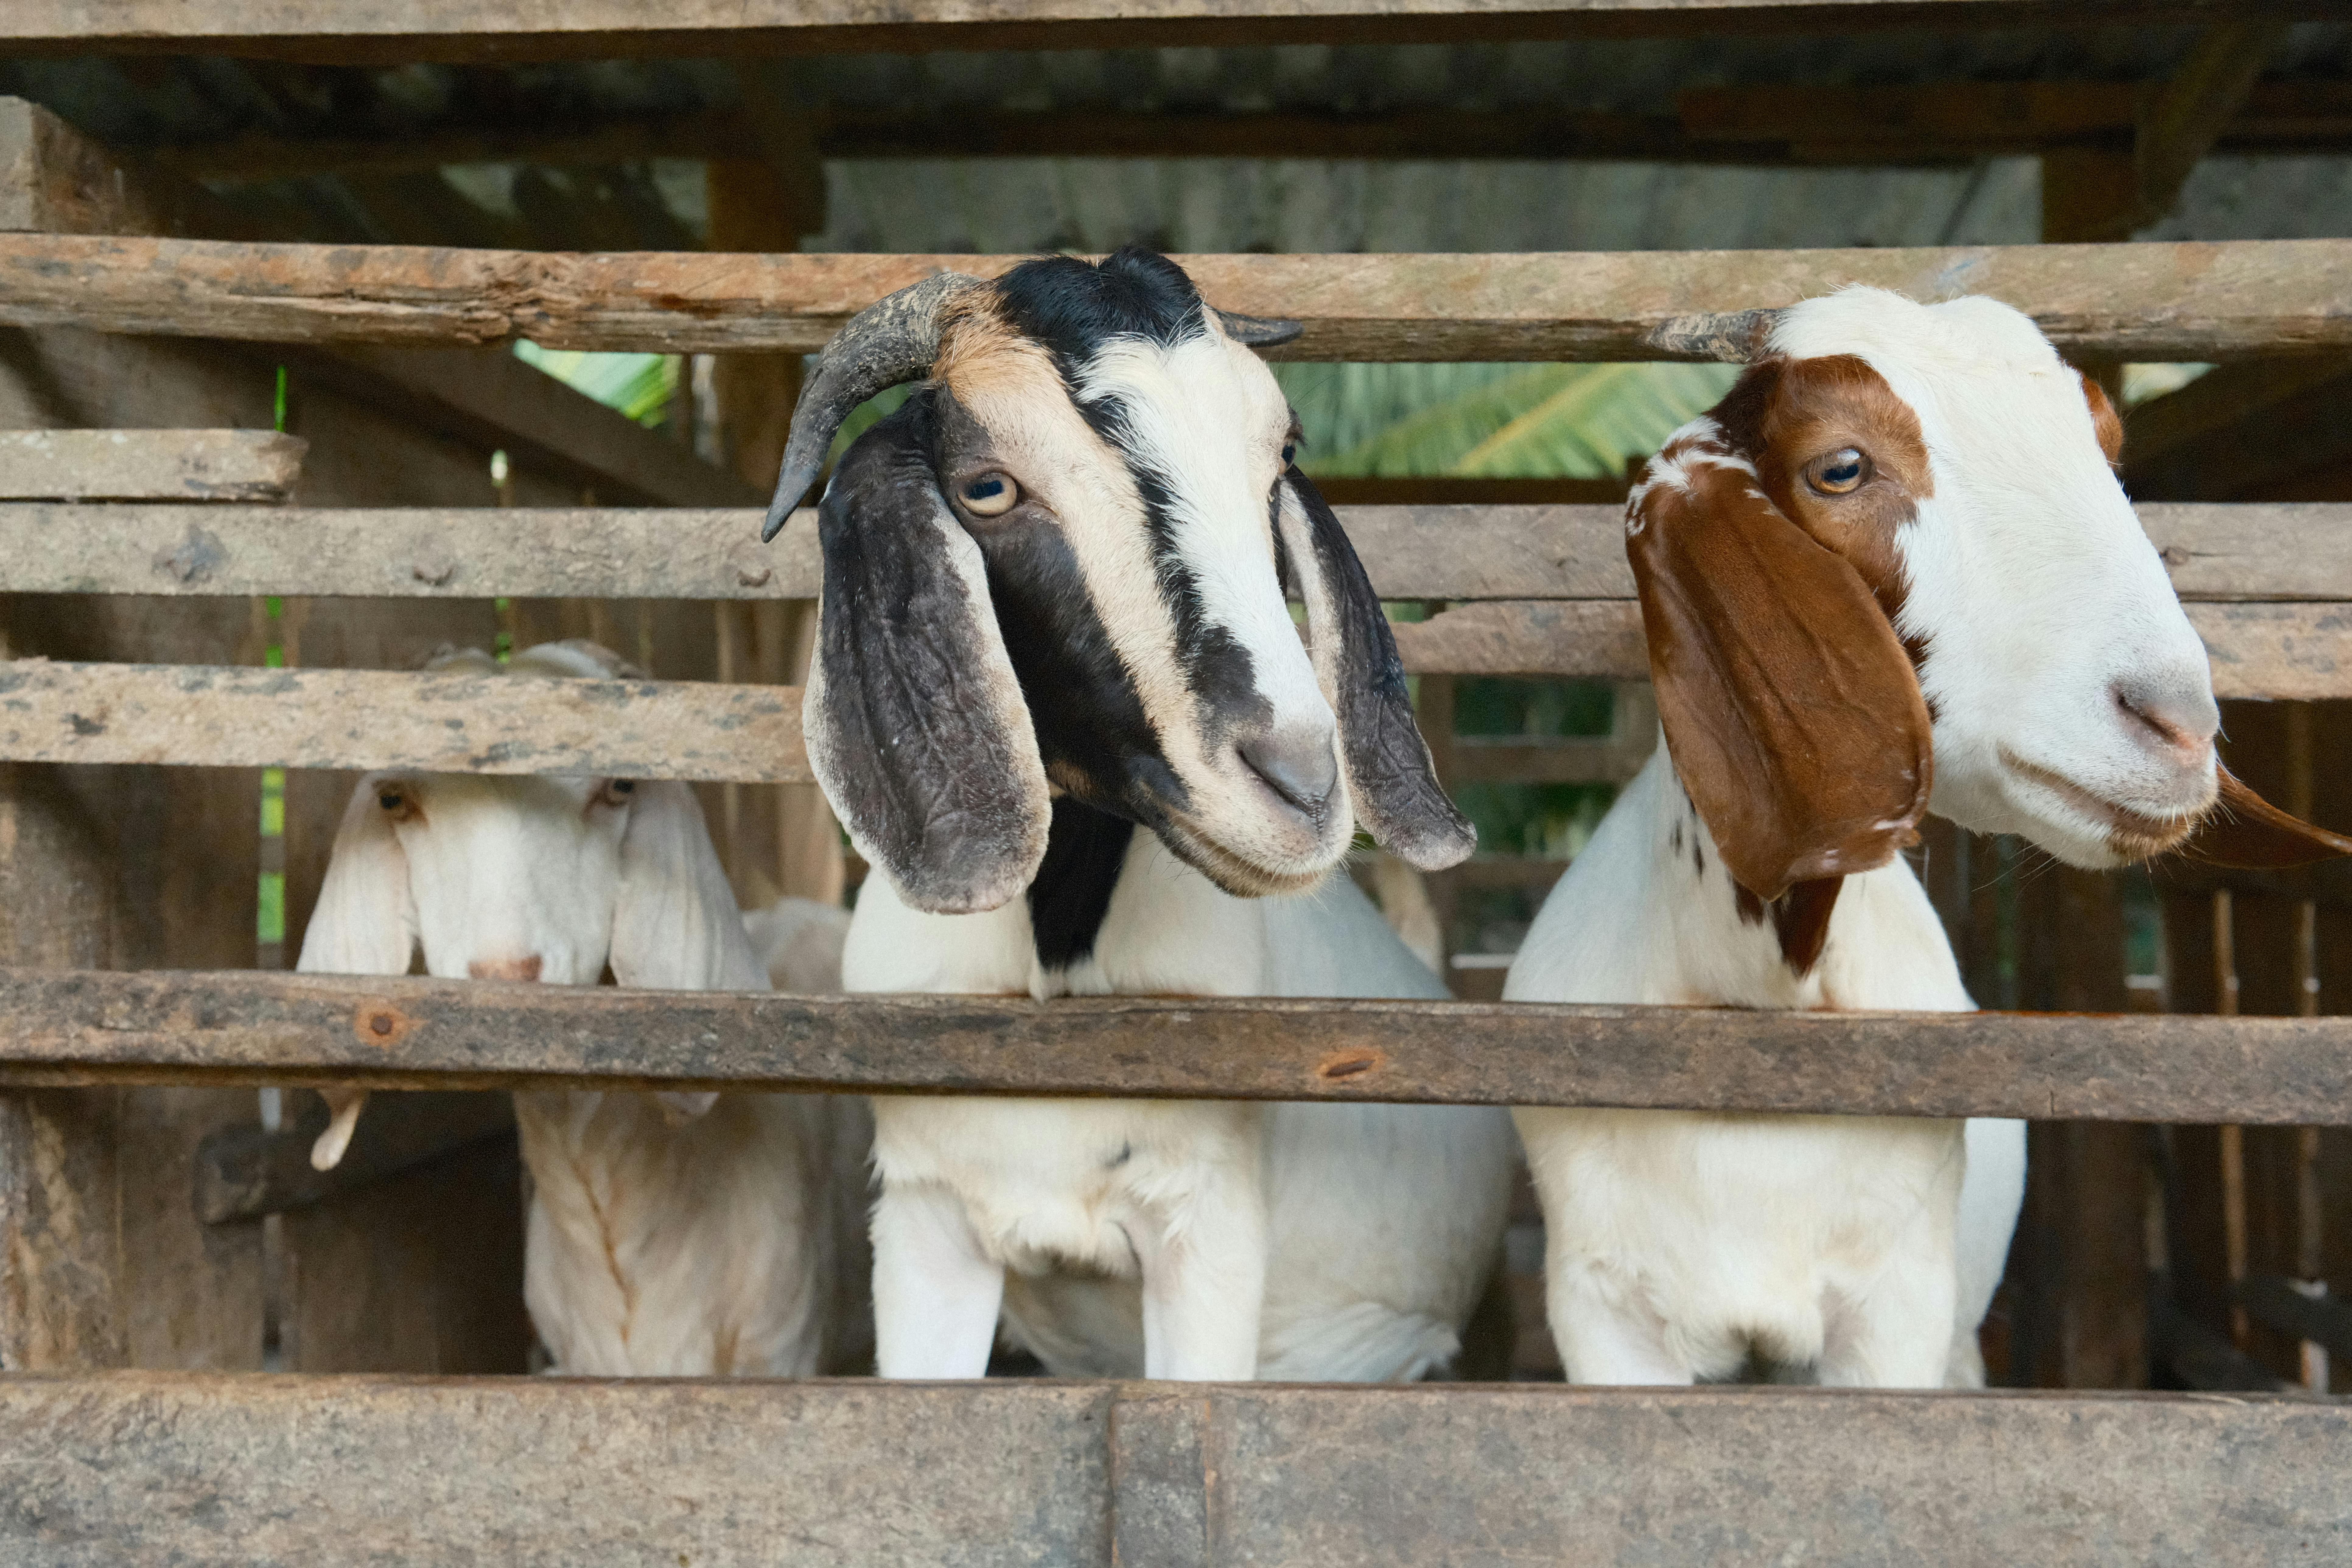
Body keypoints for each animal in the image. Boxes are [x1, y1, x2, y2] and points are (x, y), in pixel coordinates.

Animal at [767, 246, 1517, 1381]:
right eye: (987, 485)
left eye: (1279, 453)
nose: (1302, 783)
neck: (1056, 968)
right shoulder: (924, 1220)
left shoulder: (1207, 1233)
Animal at [1506, 287, 2352, 1388]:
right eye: (1840, 467)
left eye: (2106, 446)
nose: (2175, 722)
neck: (1755, 995)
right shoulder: (1605, 1317)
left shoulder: (1897, 1314)